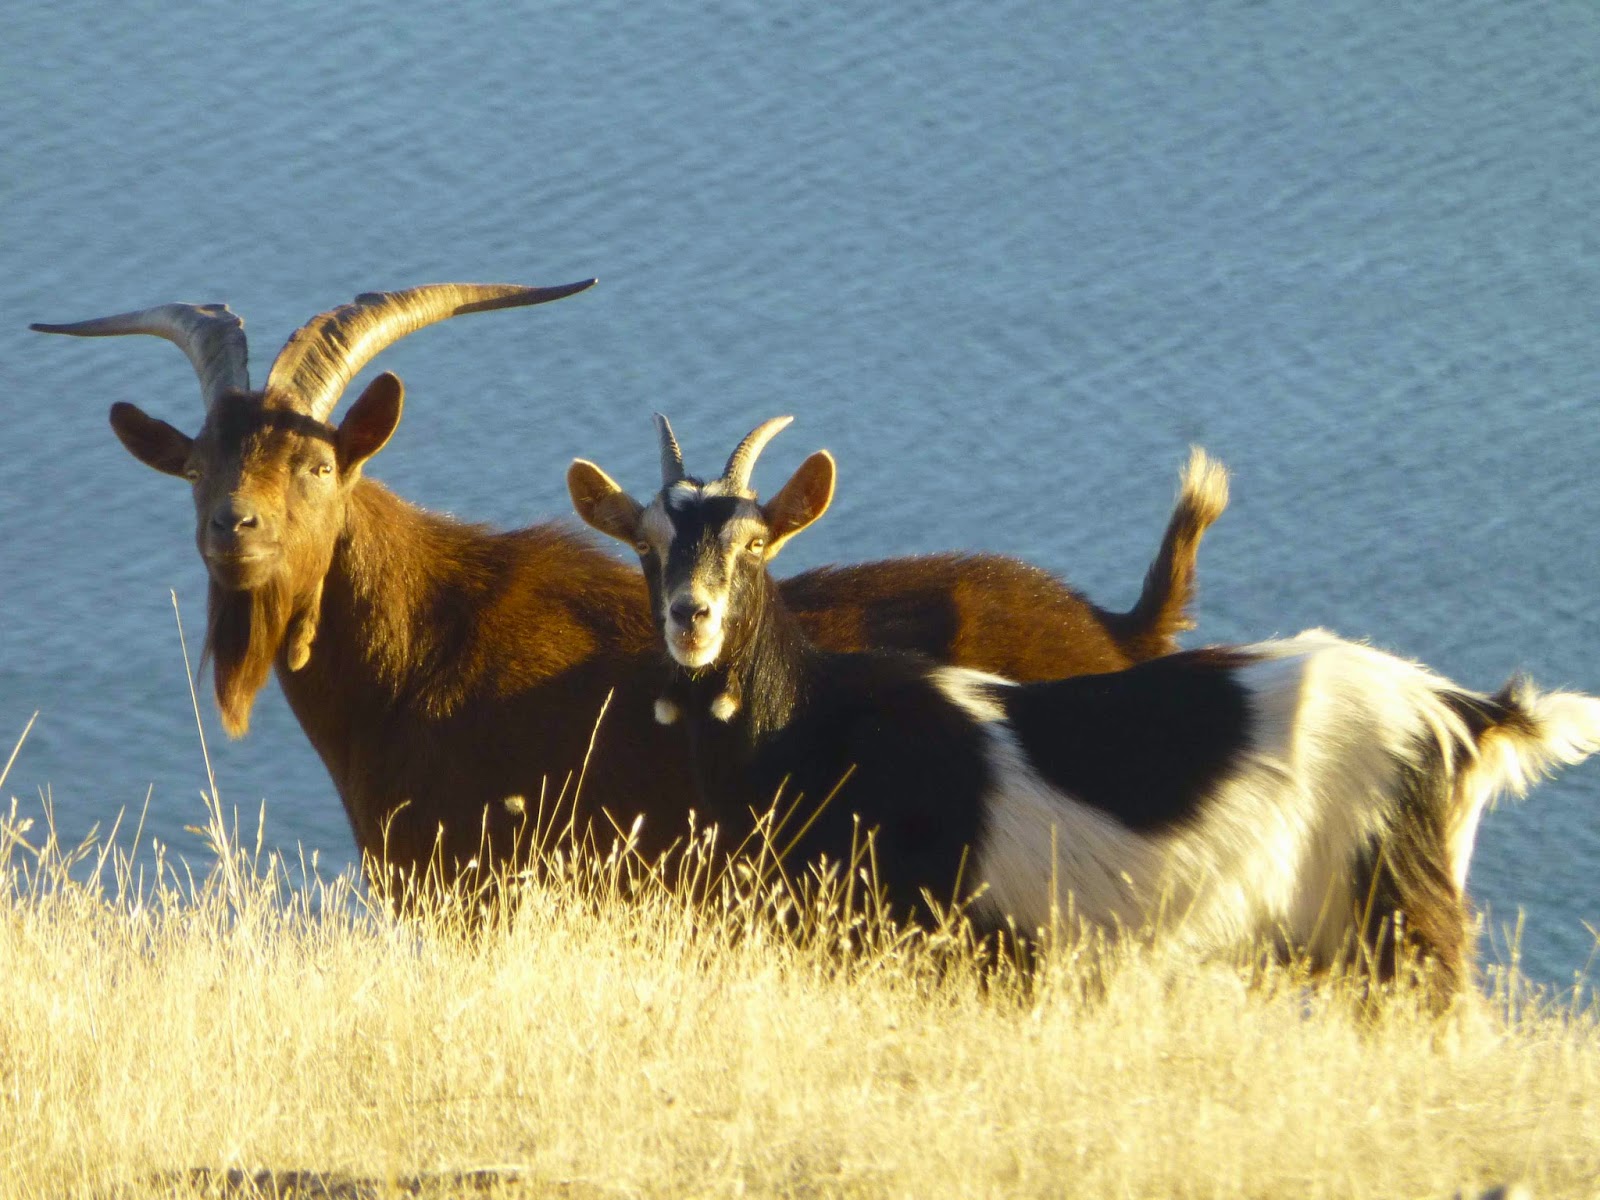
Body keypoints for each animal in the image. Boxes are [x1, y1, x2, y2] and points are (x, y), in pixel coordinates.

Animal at [569, 415, 1600, 1003]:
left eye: (755, 545)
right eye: (647, 546)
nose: (692, 618)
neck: (816, 721)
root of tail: (1463, 711)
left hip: (1399, 910)